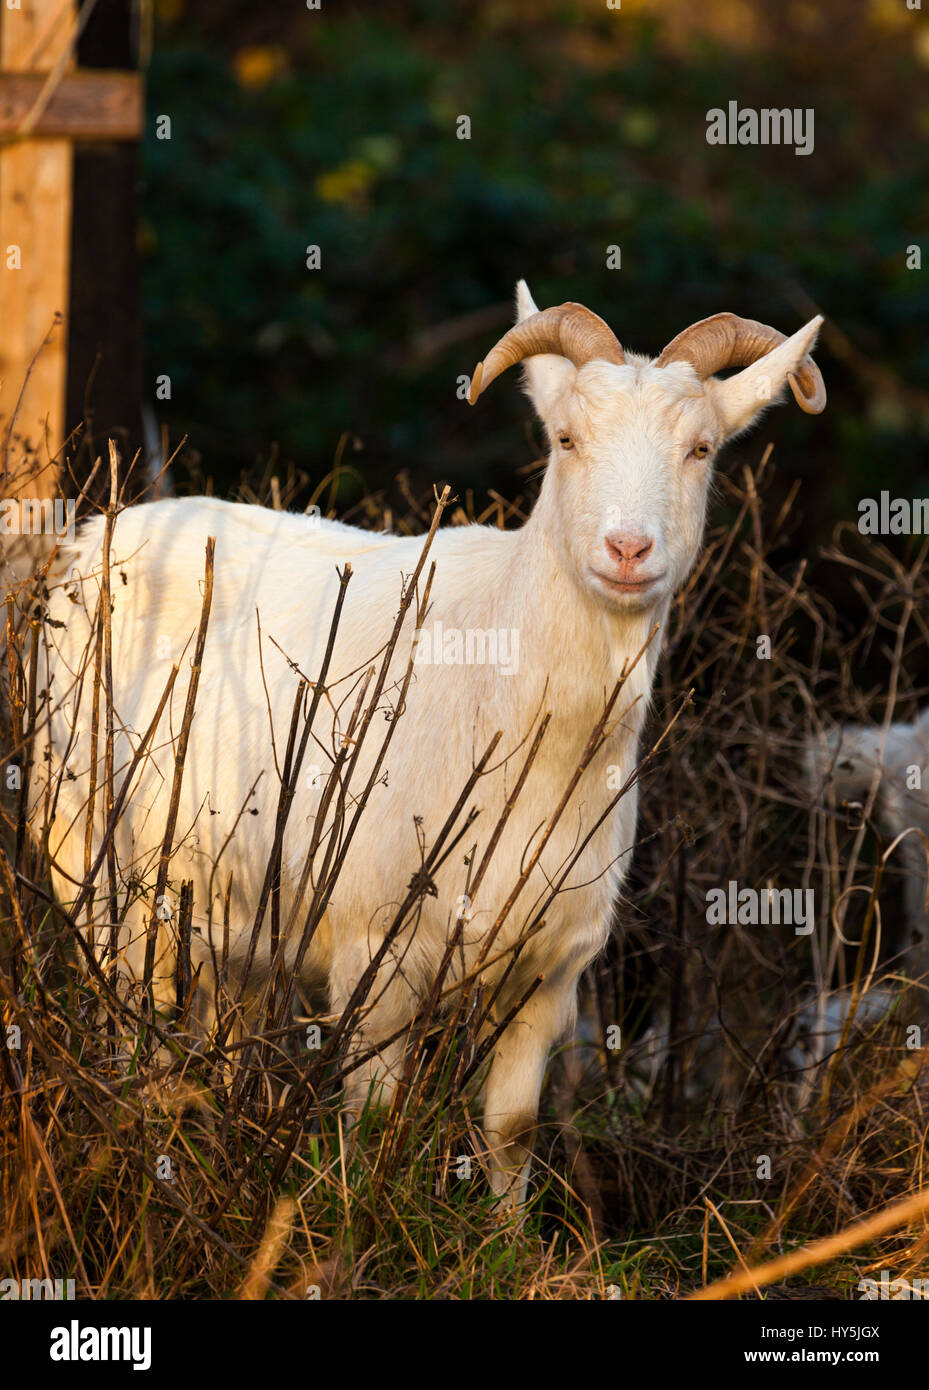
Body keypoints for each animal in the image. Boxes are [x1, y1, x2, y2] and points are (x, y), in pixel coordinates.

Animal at [33, 282, 825, 1202]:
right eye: (565, 439)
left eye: (700, 449)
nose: (627, 550)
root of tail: (93, 538)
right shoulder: (374, 950)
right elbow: (373, 1118)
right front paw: (353, 1215)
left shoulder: (549, 972)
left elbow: (511, 1131)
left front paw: (508, 1234)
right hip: (90, 854)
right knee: (127, 1013)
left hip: (228, 910)